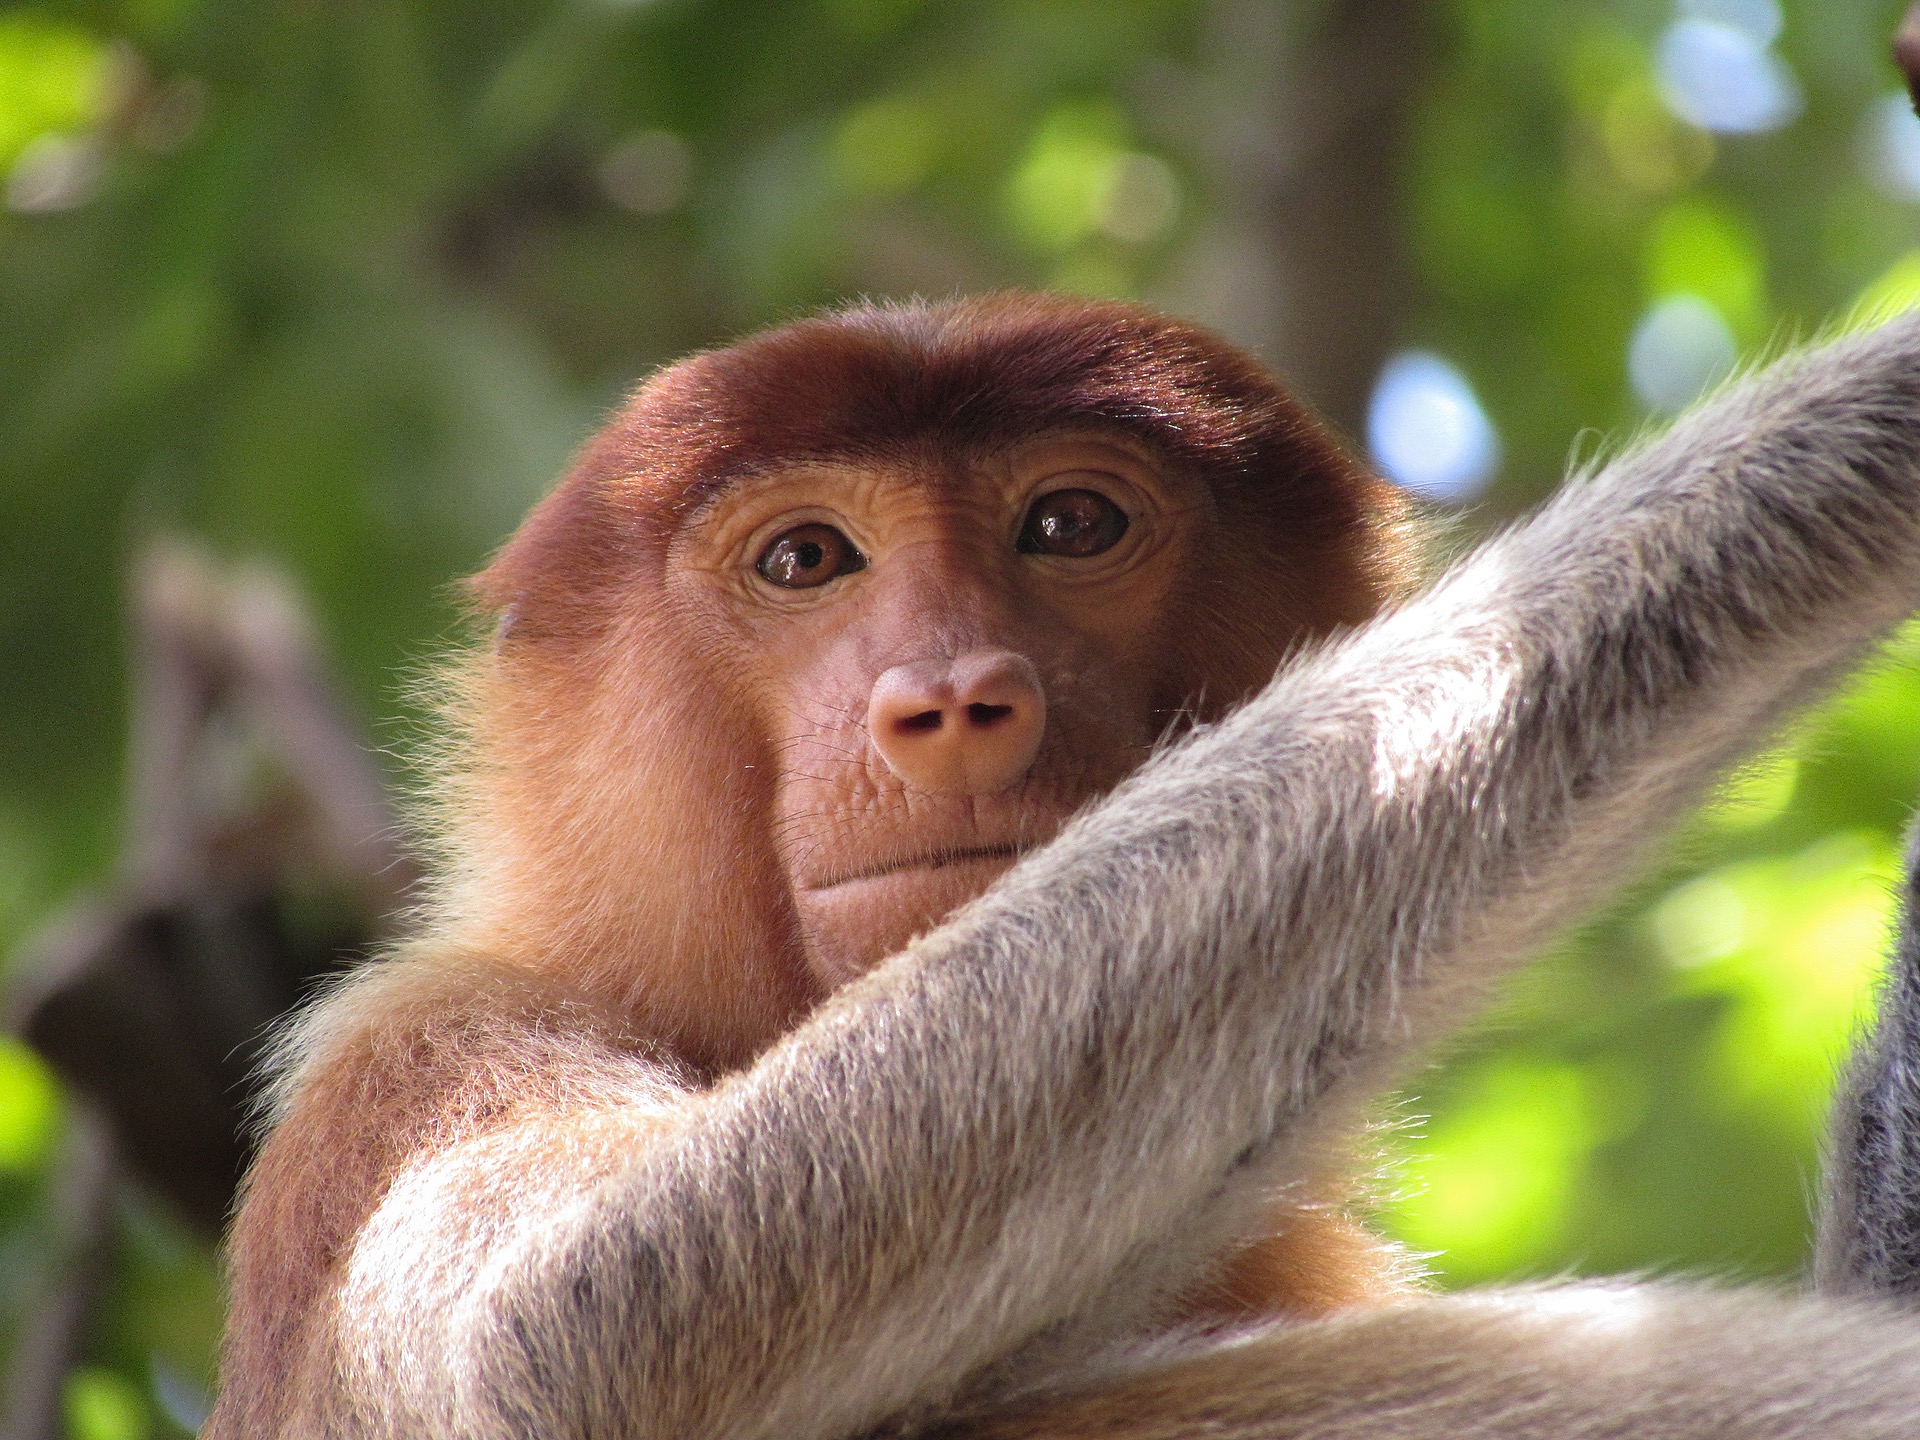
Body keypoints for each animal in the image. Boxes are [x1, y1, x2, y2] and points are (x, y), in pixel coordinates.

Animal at [207, 290, 1920, 1440]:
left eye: (1070, 523)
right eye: (805, 558)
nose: (954, 700)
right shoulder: (411, 1070)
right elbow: (567, 1329)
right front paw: (1848, 436)